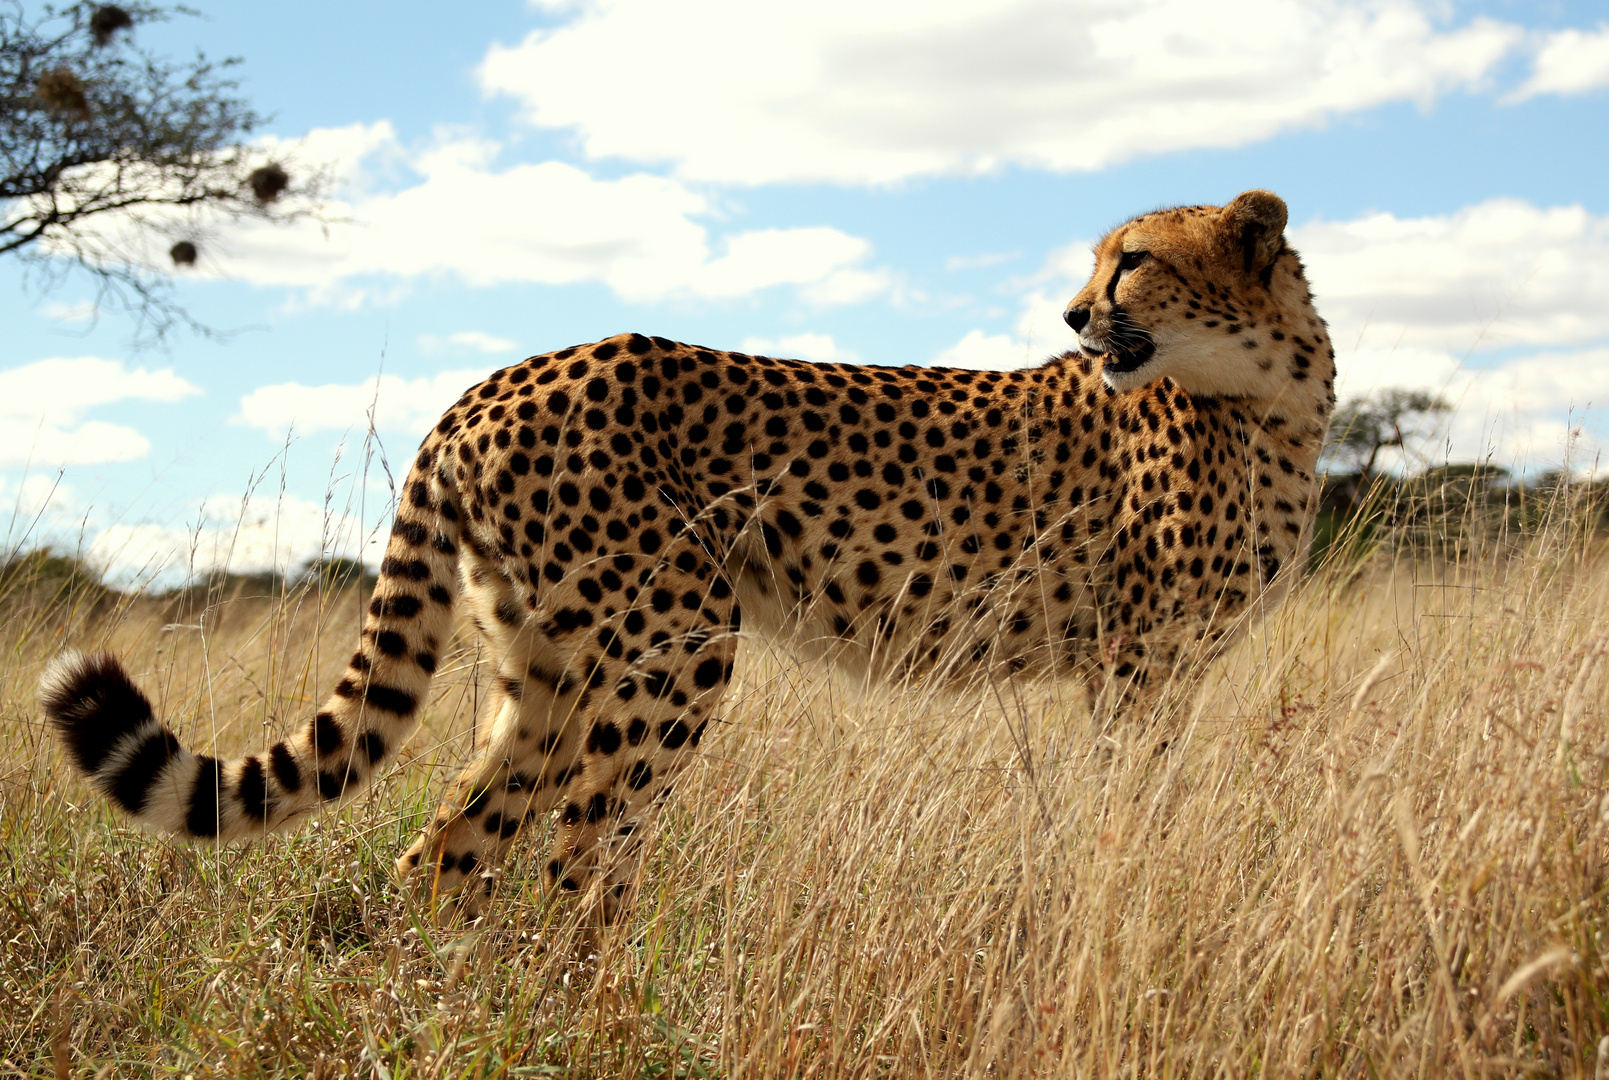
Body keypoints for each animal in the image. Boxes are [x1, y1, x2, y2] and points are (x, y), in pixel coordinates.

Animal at [41, 189, 1335, 923]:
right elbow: (1131, 804)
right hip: (673, 640)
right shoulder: (1139, 662)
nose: (1072, 316)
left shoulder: (1141, 665)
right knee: (576, 854)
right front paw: (1130, 888)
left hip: (545, 665)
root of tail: (495, 379)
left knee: (454, 843)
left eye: (1134, 261)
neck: (1274, 394)